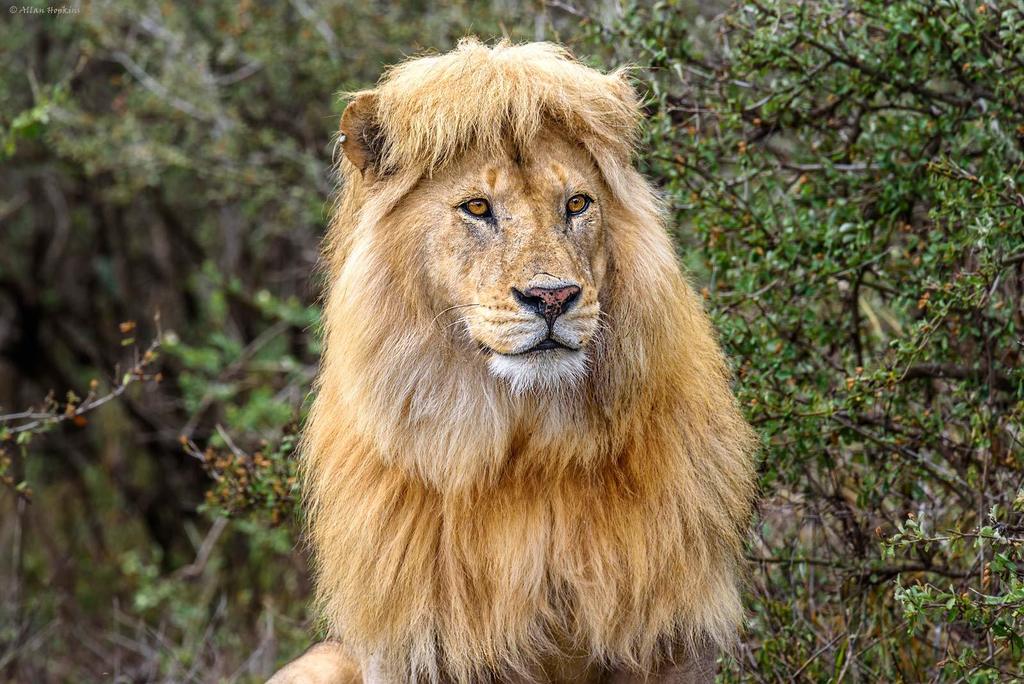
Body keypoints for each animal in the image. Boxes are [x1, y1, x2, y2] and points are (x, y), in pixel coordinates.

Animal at [269, 38, 757, 684]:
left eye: (577, 203)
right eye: (477, 207)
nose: (552, 297)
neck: (526, 448)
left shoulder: (670, 641)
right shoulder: (412, 651)